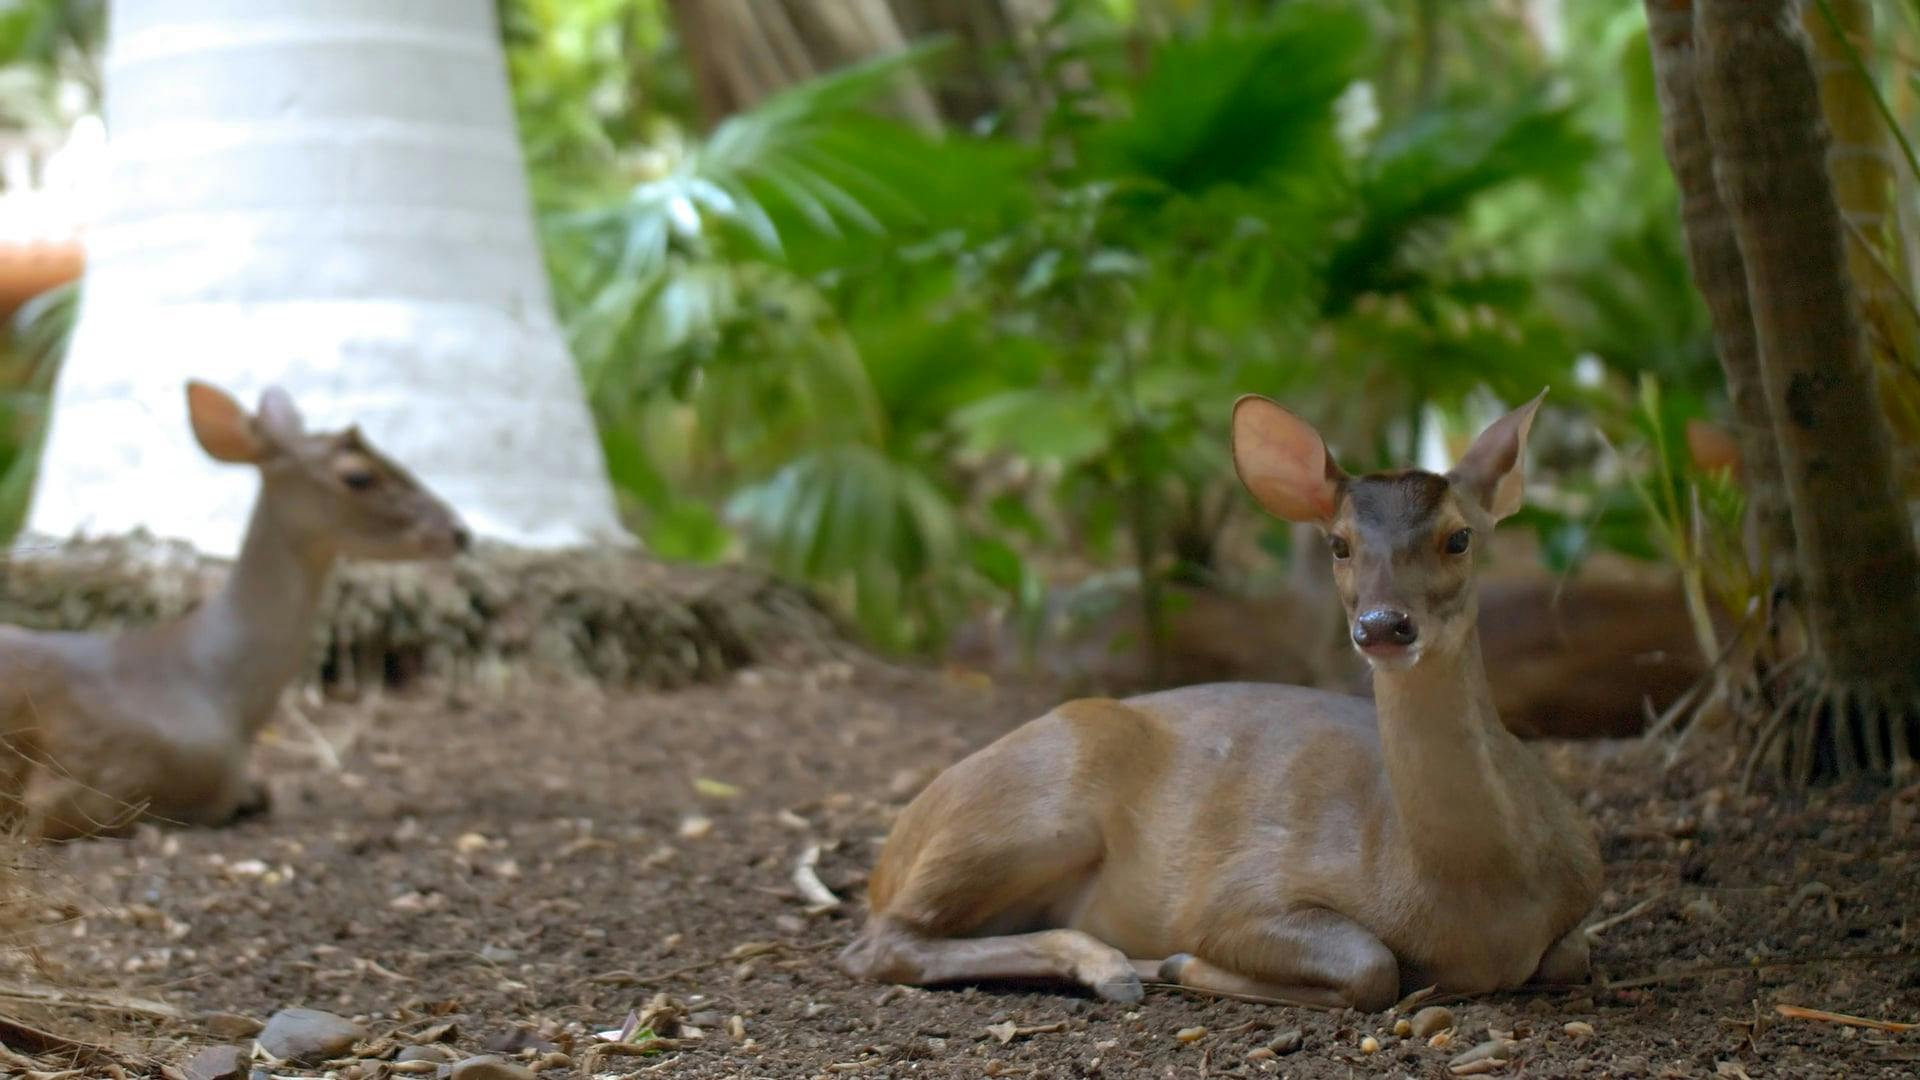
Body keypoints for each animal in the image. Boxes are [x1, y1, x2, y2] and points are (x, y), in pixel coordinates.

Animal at [840, 389, 1603, 1009]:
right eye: (1339, 544)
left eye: (1459, 537)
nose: (1384, 625)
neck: (1470, 901)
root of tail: (889, 855)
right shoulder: (1236, 893)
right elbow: (1372, 965)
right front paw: (1181, 962)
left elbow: (1571, 956)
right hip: (1033, 804)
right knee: (879, 942)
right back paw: (1116, 966)